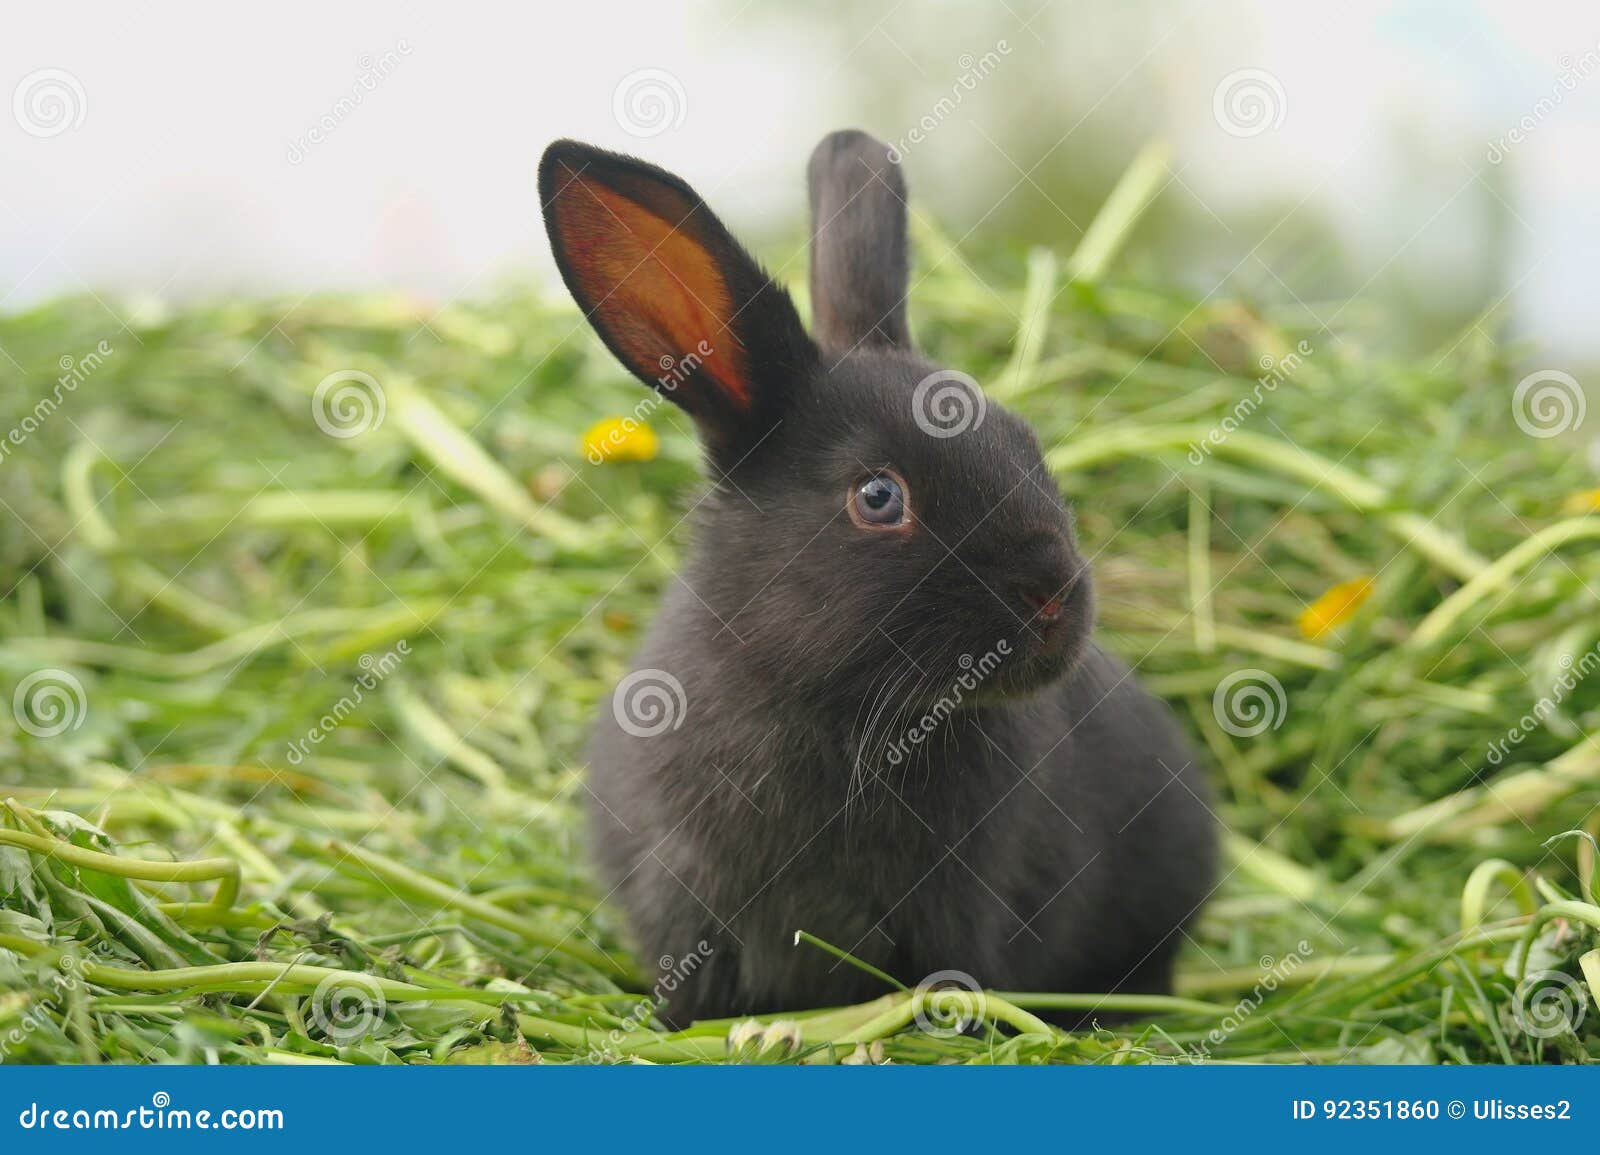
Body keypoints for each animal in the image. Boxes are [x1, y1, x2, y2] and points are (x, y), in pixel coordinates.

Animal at [539, 129, 1217, 1027]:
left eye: (1026, 442)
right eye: (878, 497)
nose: (1053, 599)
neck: (841, 712)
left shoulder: (963, 905)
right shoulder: (683, 901)